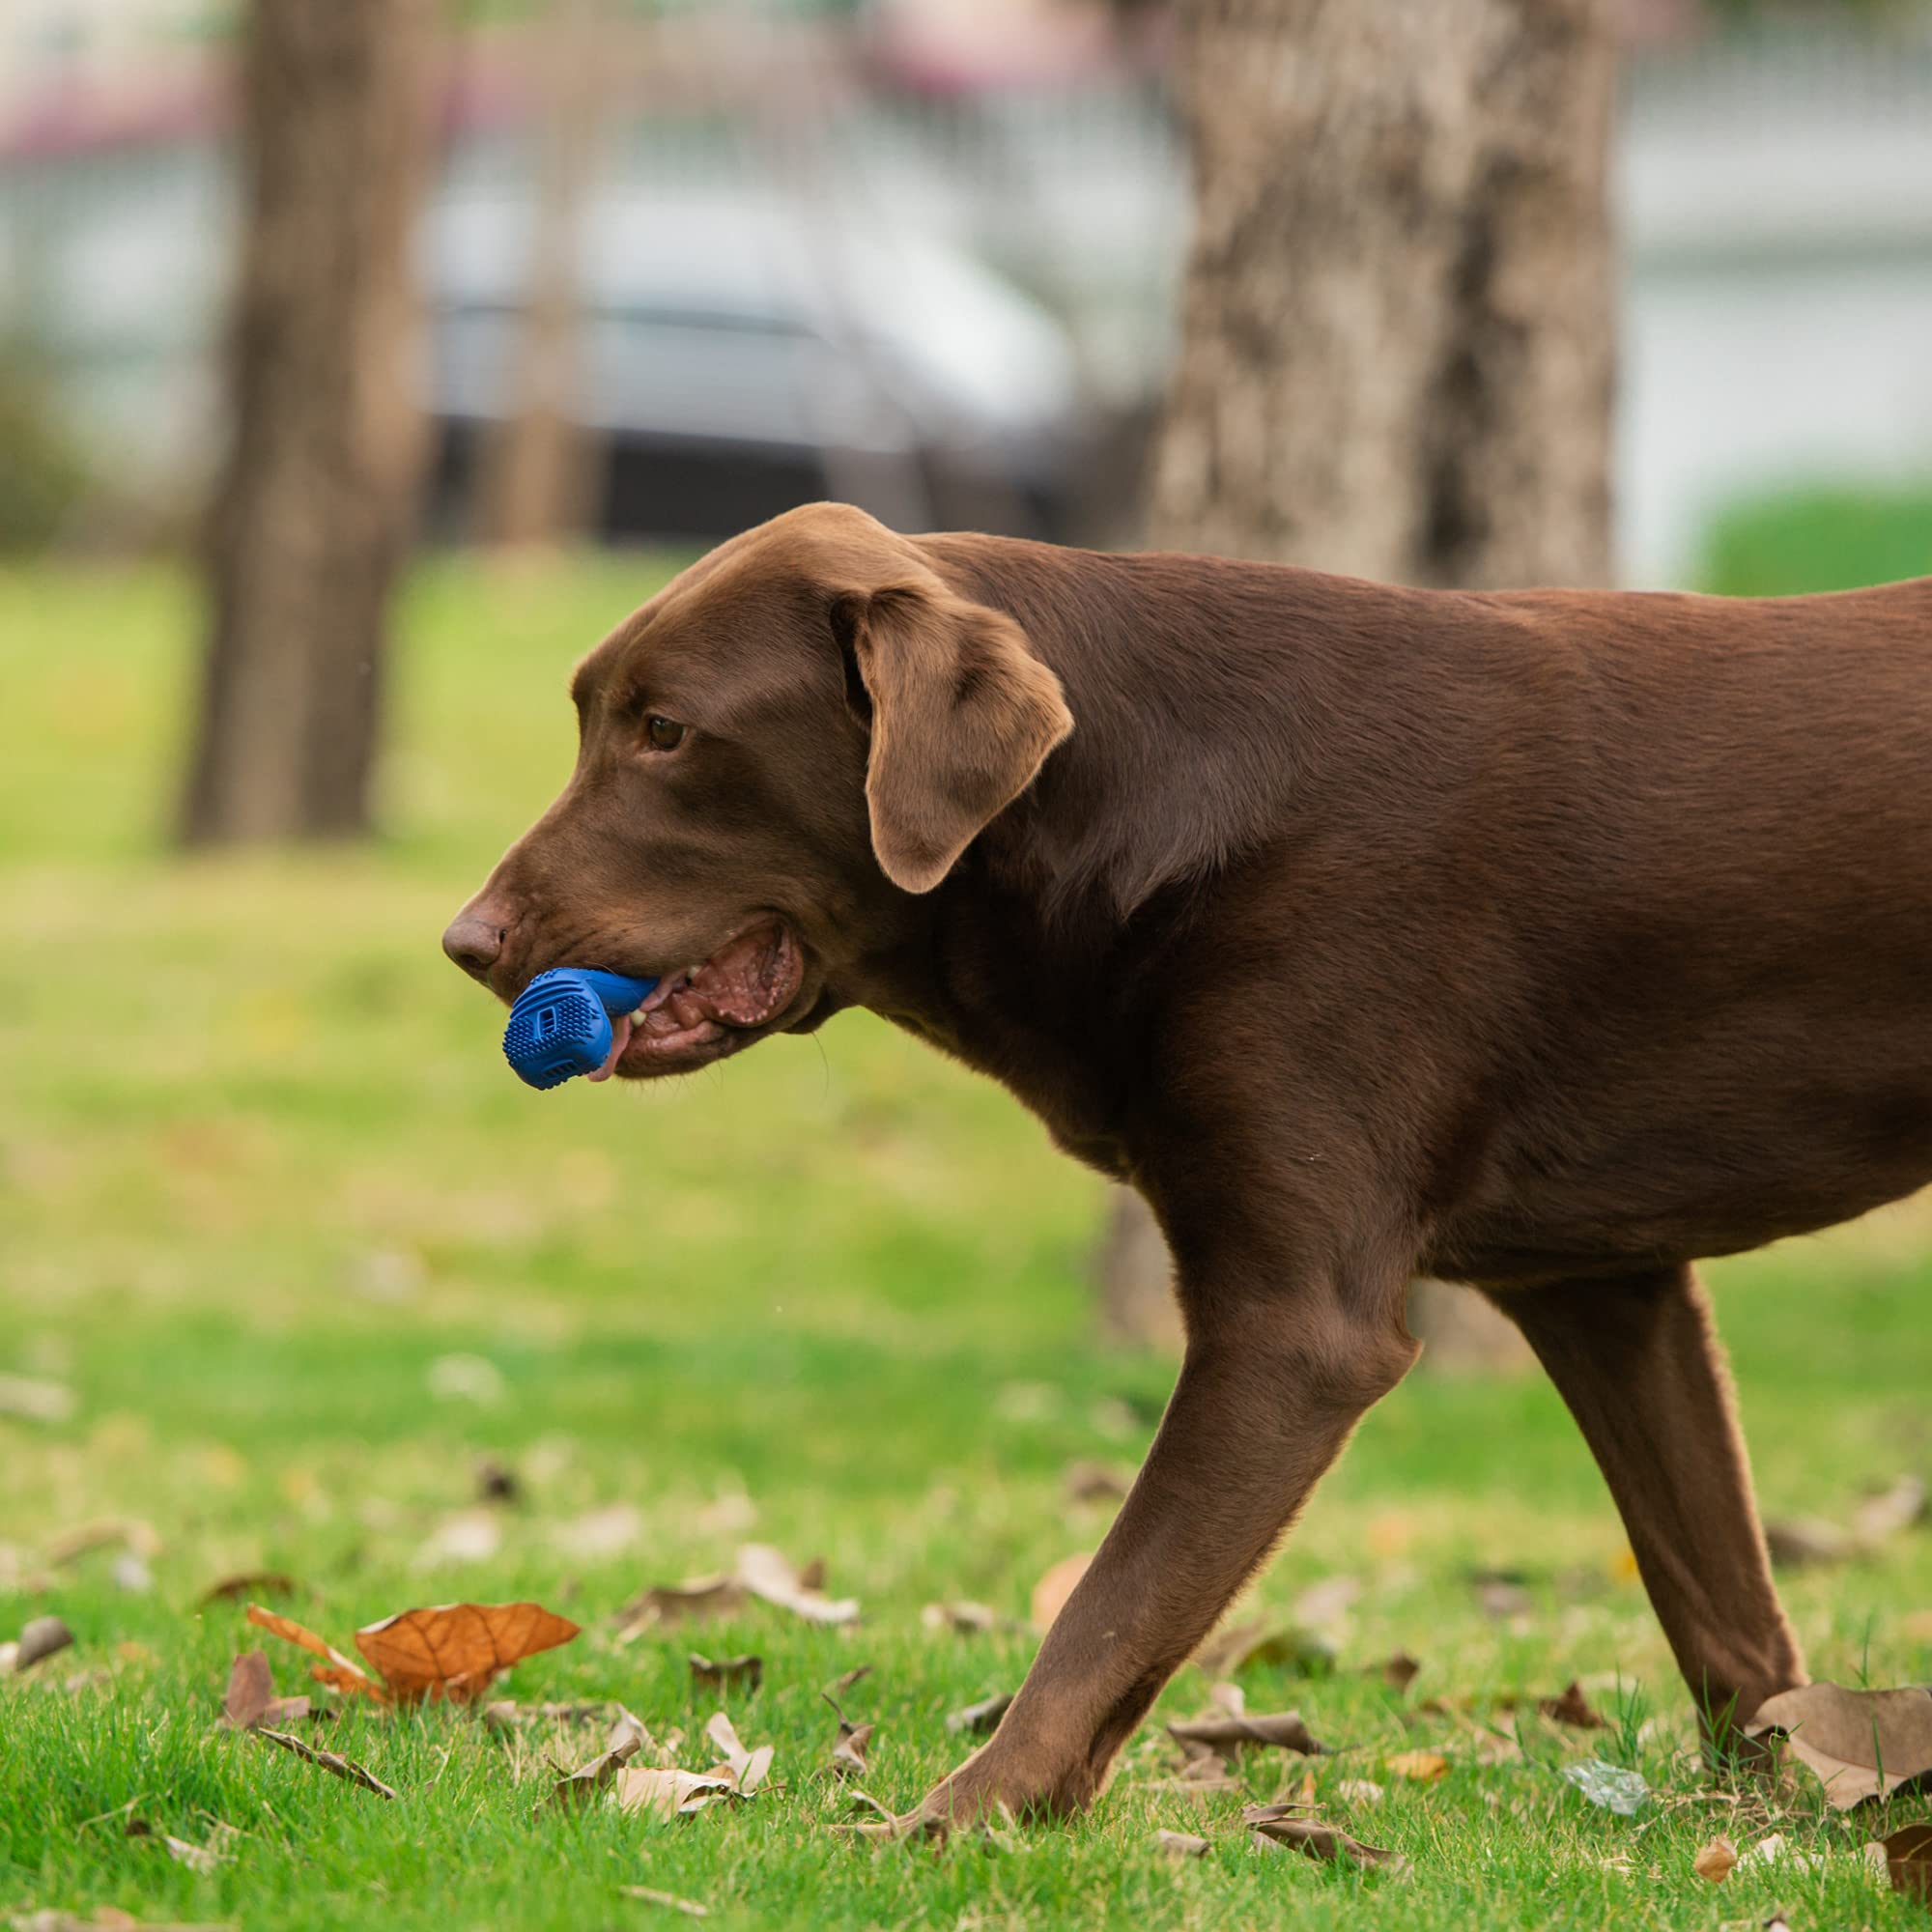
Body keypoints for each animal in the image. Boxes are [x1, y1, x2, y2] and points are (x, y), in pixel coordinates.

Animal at [442, 498, 1932, 1824]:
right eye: (593, 717)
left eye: (666, 731)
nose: (465, 941)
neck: (1141, 793)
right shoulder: (1603, 1285)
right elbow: (1720, 1607)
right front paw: (1789, 1799)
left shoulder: (1294, 1326)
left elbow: (1109, 1613)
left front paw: (953, 1822)